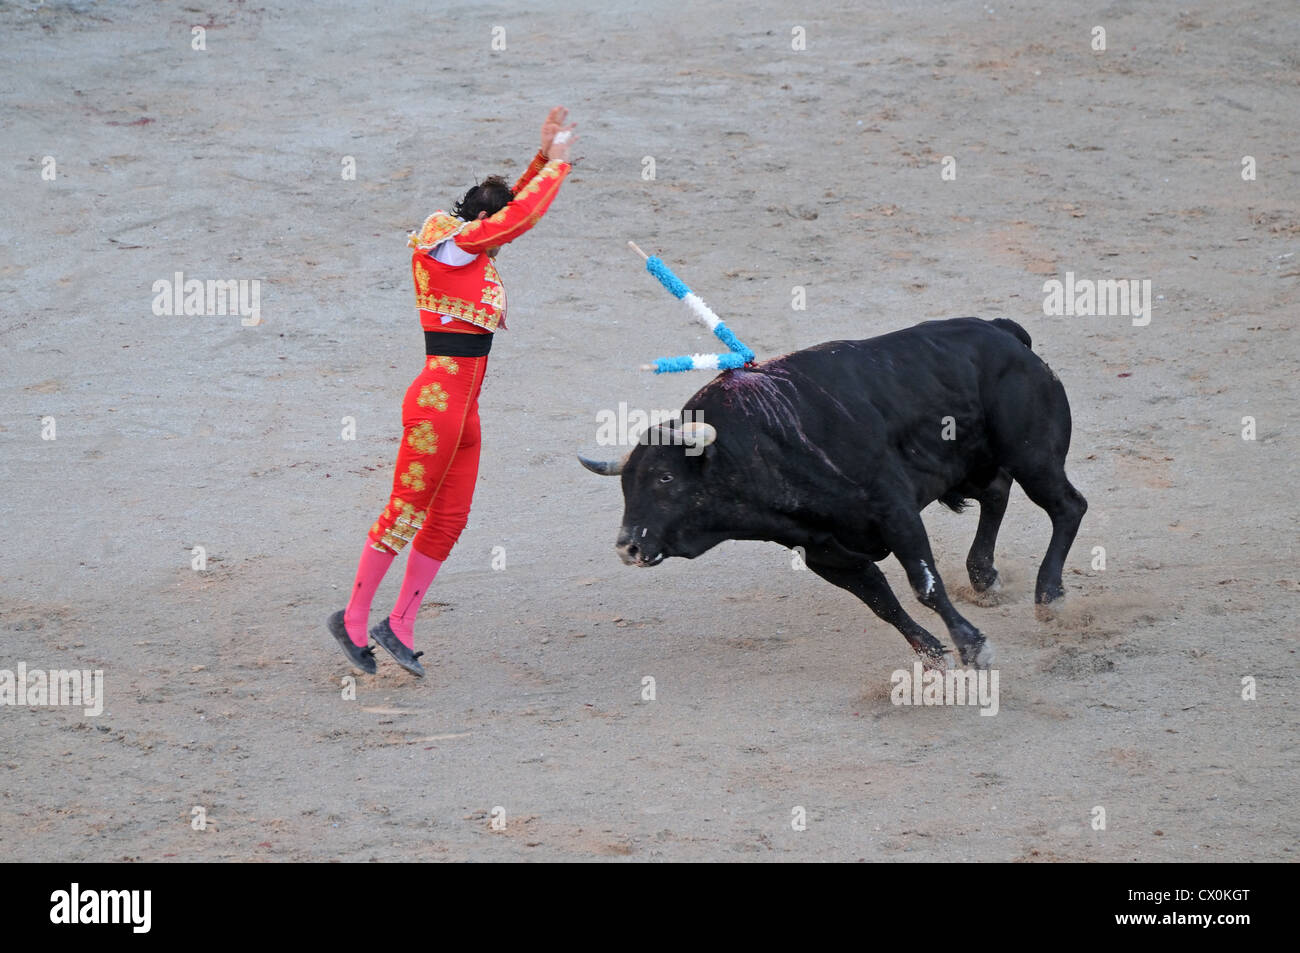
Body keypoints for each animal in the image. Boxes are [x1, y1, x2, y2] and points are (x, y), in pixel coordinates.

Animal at [578, 317, 1087, 670]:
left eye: (665, 479)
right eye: (625, 484)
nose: (628, 546)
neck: (760, 442)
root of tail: (1005, 333)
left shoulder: (896, 512)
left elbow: (924, 585)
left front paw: (973, 647)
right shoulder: (823, 551)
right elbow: (882, 602)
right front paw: (932, 653)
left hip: (1033, 457)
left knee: (1068, 507)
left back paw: (1049, 596)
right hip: (975, 466)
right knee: (997, 494)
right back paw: (984, 577)